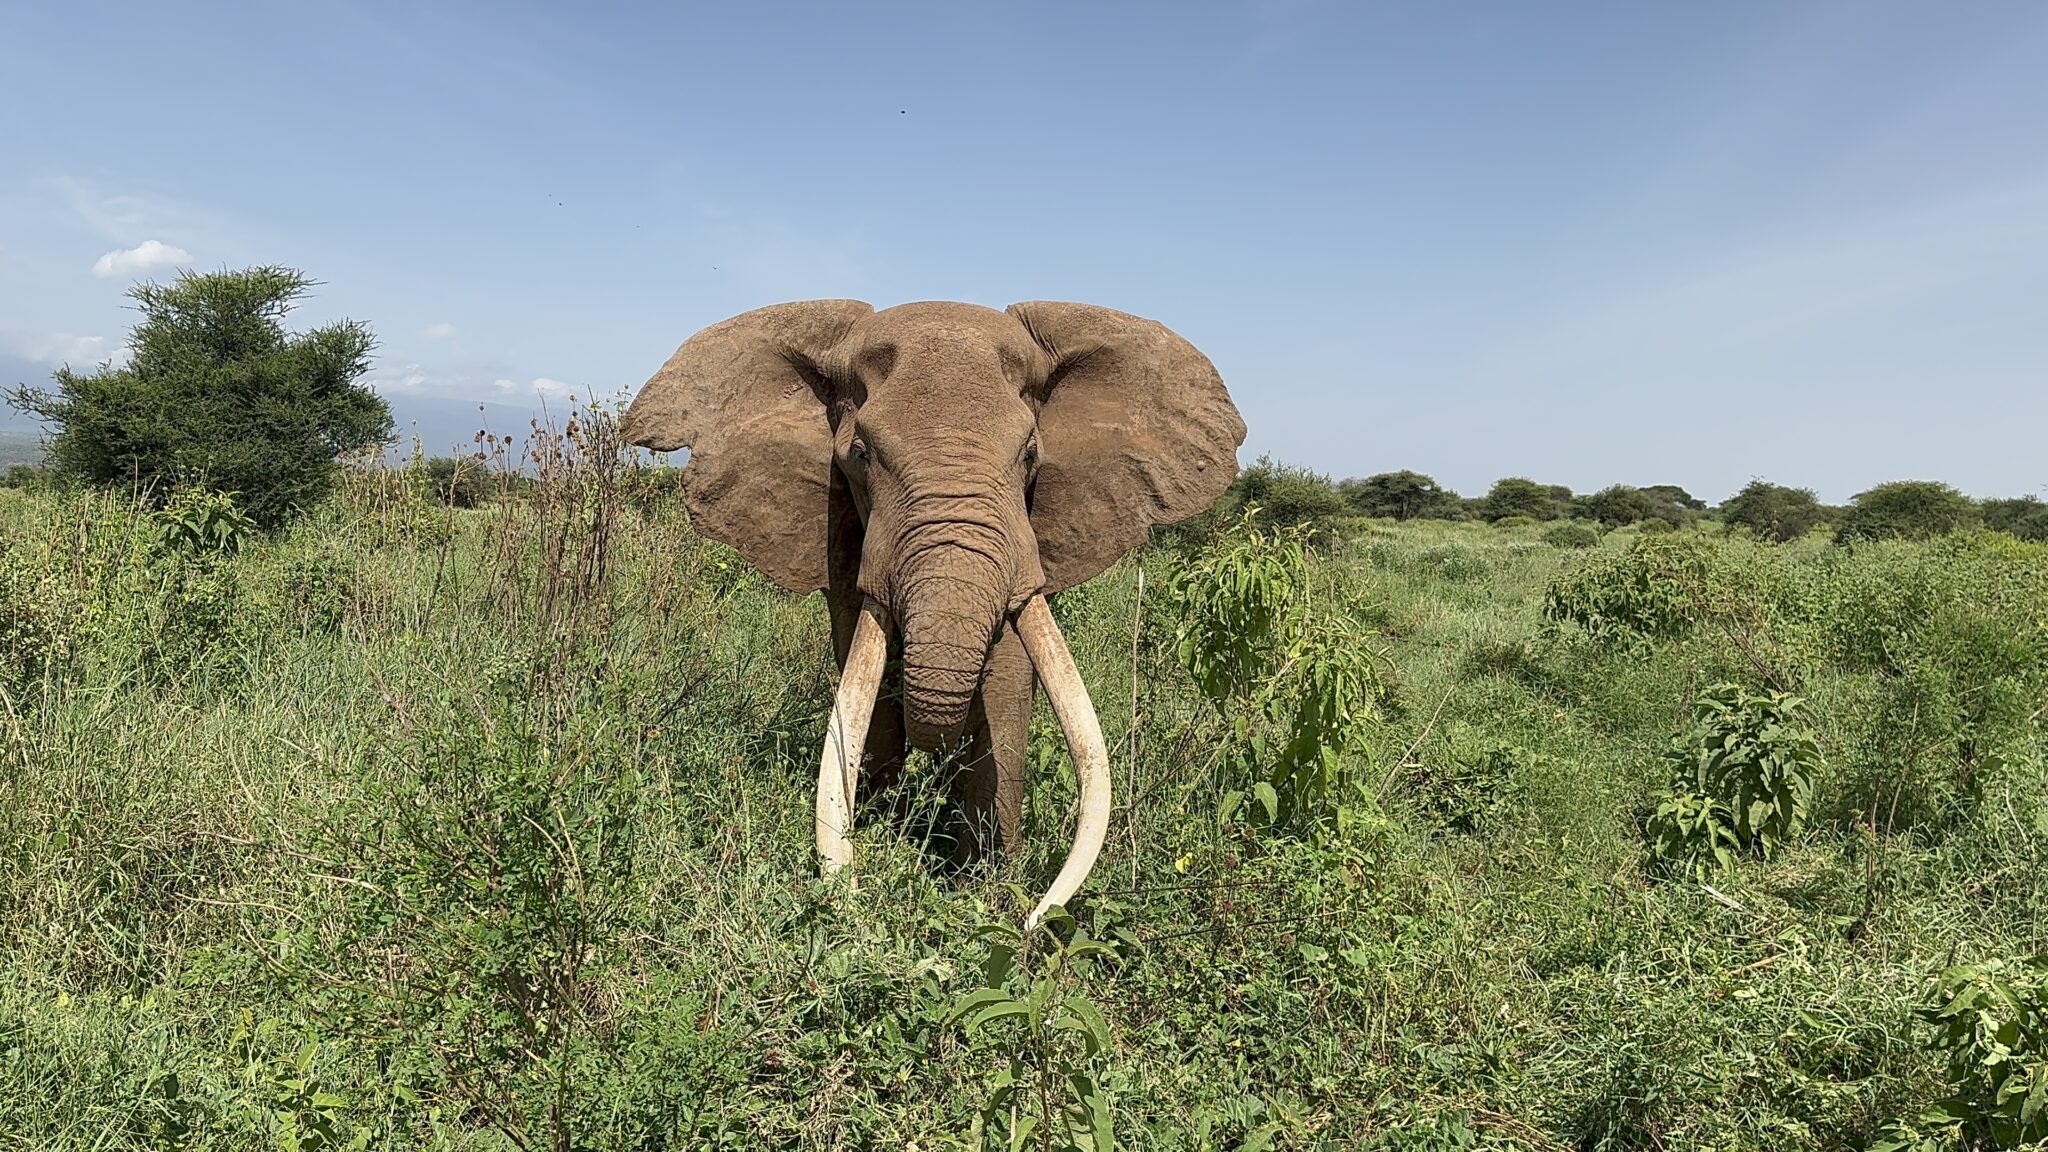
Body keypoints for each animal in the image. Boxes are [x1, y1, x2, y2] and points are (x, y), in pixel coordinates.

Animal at [620, 300, 1245, 926]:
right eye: (861, 455)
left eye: (1031, 454)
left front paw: (989, 892)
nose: (1035, 917)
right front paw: (882, 841)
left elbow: (1007, 680)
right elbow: (866, 683)